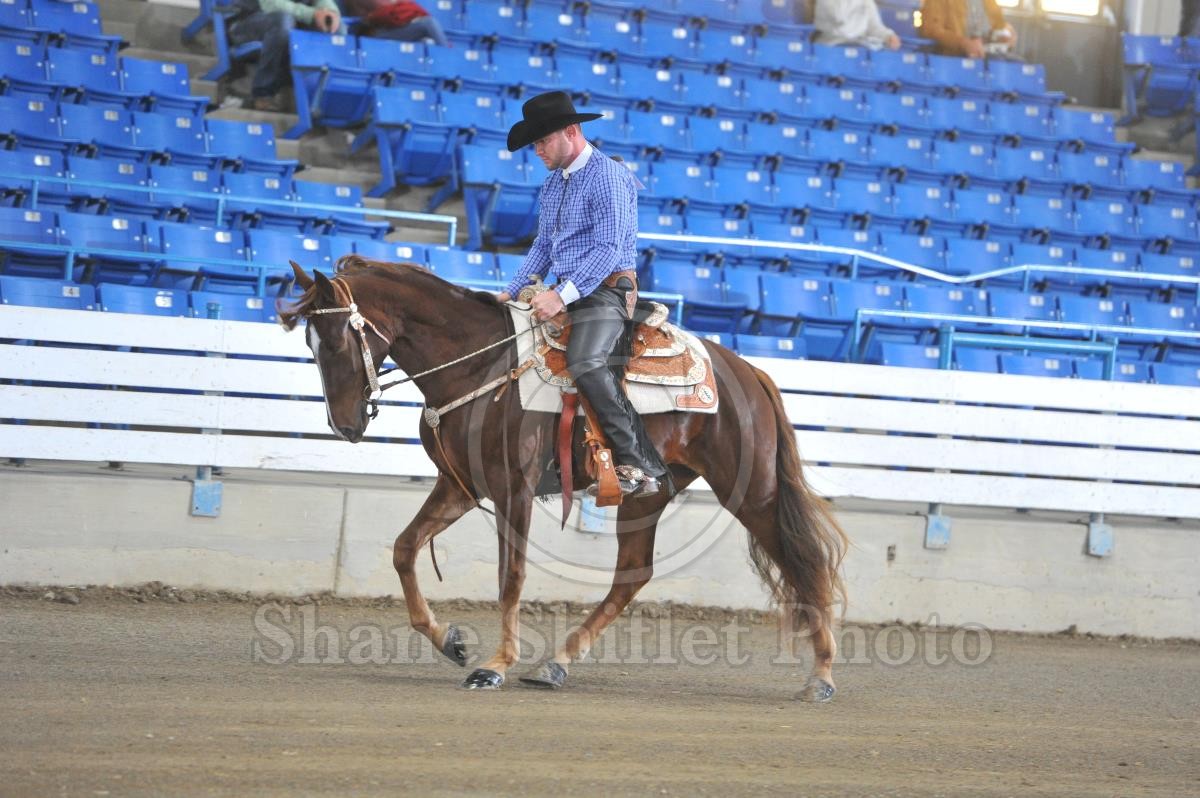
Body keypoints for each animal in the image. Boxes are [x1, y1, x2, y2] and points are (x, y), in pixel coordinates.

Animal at [280, 255, 848, 701]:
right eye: (309, 343)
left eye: (335, 341)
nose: (344, 425)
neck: (481, 363)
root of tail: (750, 372)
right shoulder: (461, 486)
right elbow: (404, 548)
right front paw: (451, 642)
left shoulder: (514, 489)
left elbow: (511, 576)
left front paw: (494, 666)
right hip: (649, 494)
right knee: (632, 575)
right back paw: (555, 663)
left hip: (752, 491)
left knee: (804, 560)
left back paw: (822, 675)